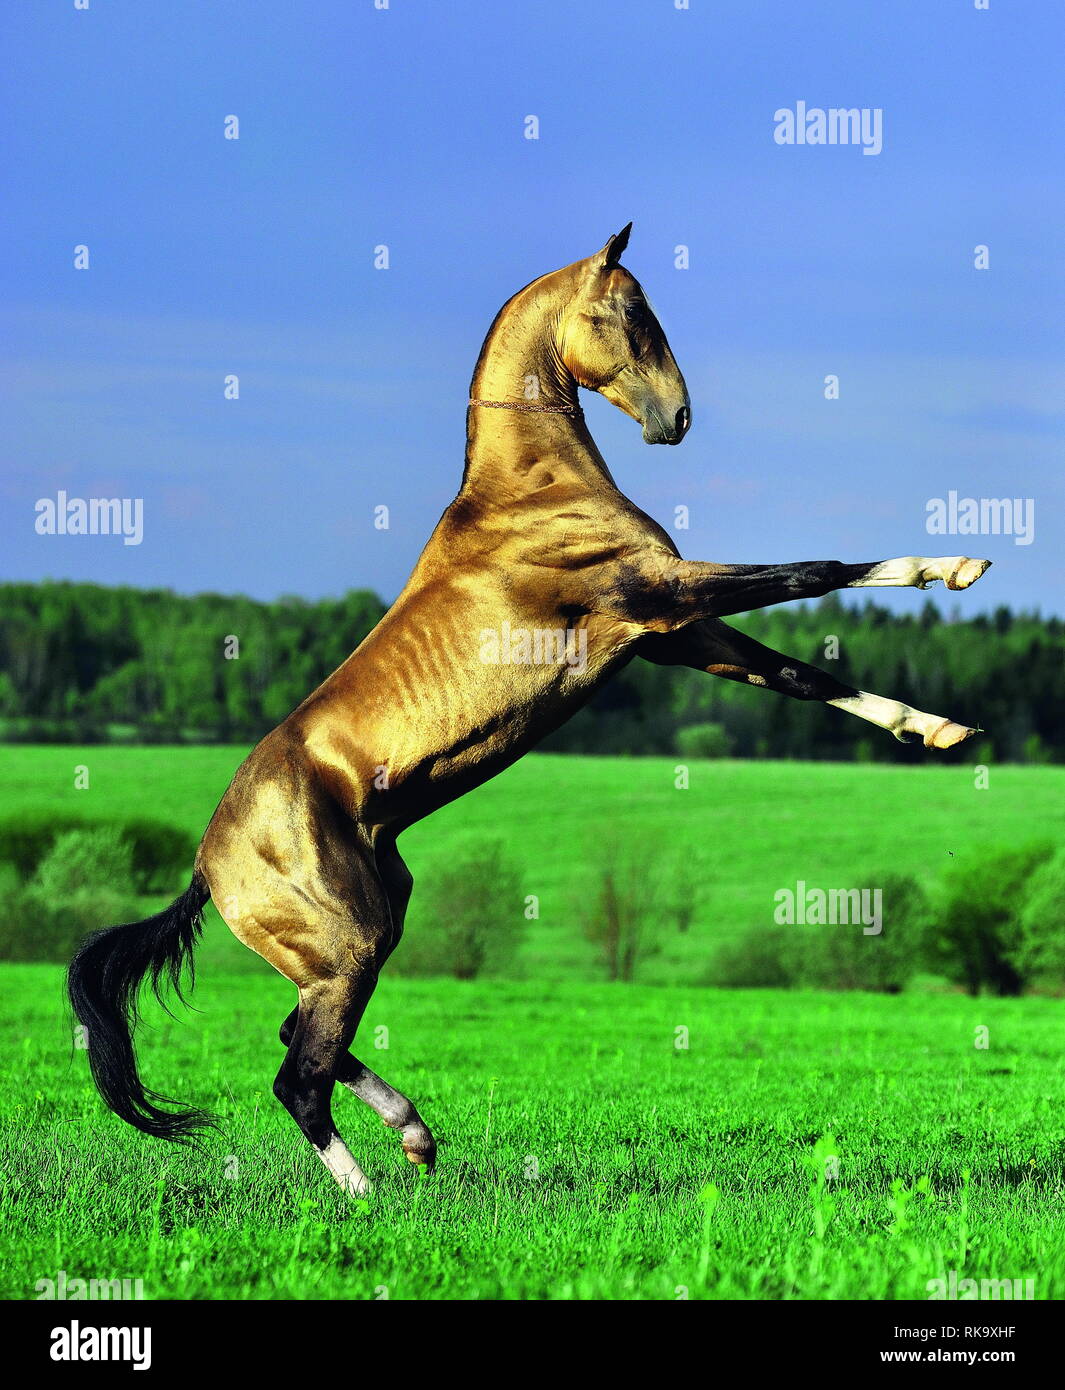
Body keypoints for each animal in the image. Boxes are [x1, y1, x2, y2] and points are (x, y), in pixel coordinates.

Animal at [68, 224, 990, 1193]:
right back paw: (369, 1196)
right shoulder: (659, 595)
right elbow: (814, 570)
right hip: (349, 943)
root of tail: (207, 868)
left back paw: (416, 1135)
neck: (533, 488)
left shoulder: (669, 634)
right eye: (625, 312)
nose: (674, 419)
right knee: (298, 1078)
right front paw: (951, 568)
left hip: (358, 935)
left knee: (299, 1039)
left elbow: (804, 677)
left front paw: (936, 728)